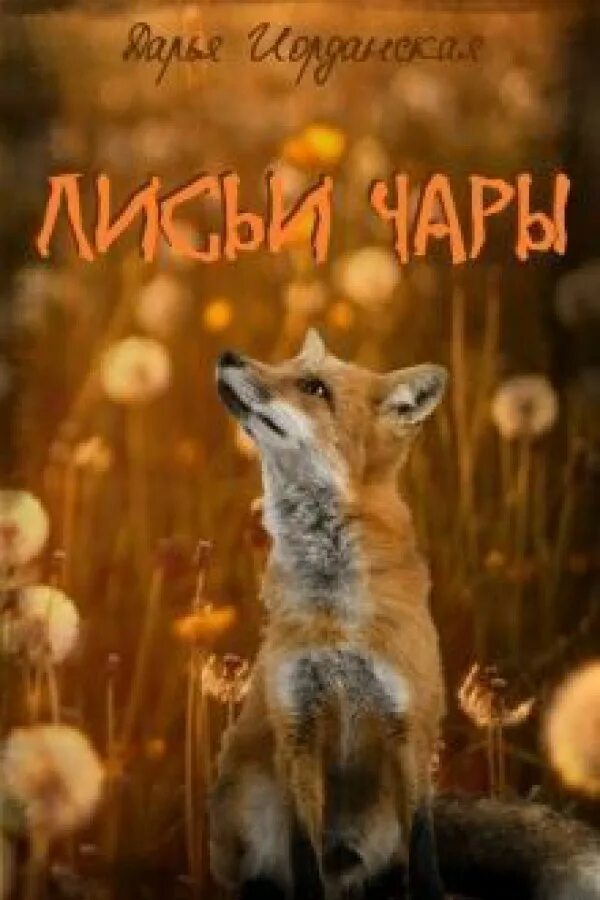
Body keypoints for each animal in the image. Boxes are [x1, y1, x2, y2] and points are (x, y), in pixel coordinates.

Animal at [209, 331, 600, 900]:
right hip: (248, 804)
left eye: (313, 386)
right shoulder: (297, 729)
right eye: (286, 363)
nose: (227, 355)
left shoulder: (408, 722)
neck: (339, 616)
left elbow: (423, 843)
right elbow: (303, 852)